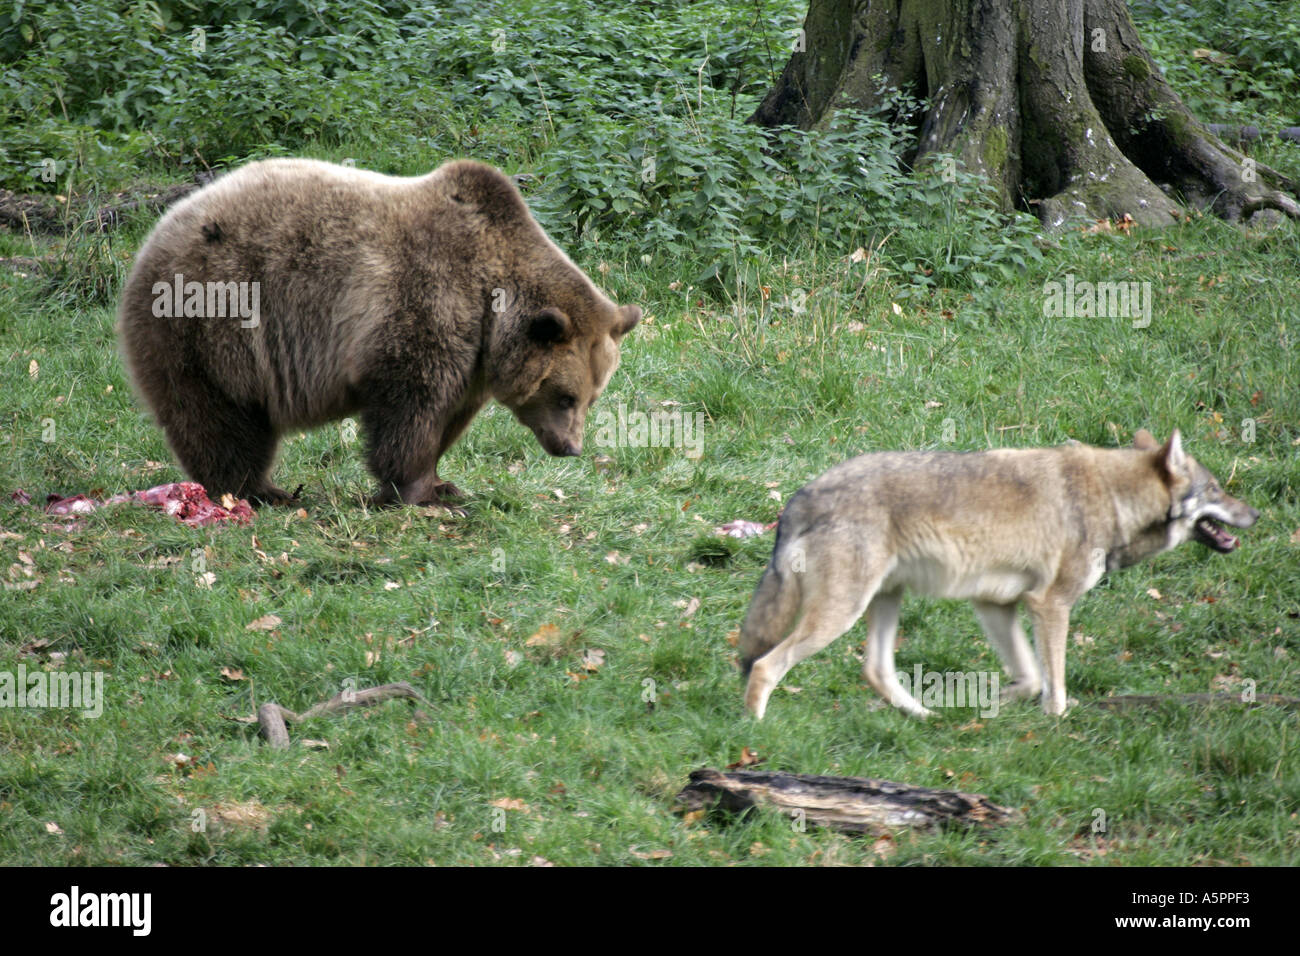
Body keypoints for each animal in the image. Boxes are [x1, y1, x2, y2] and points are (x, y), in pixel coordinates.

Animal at [117, 157, 640, 506]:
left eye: (591, 398)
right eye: (566, 397)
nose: (570, 447)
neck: (490, 300)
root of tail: (154, 234)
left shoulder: (472, 358)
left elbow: (448, 414)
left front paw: (442, 481)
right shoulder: (425, 303)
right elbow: (409, 403)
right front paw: (421, 491)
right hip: (211, 323)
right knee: (218, 418)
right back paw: (258, 491)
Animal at [739, 430, 1258, 719]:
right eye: (1216, 488)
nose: (1254, 514)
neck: (1114, 497)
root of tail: (800, 496)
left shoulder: (995, 604)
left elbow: (1029, 677)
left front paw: (996, 704)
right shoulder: (1050, 604)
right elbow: (1055, 681)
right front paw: (1056, 720)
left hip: (884, 601)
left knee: (876, 671)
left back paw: (925, 716)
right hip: (841, 614)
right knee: (764, 665)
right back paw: (755, 731)